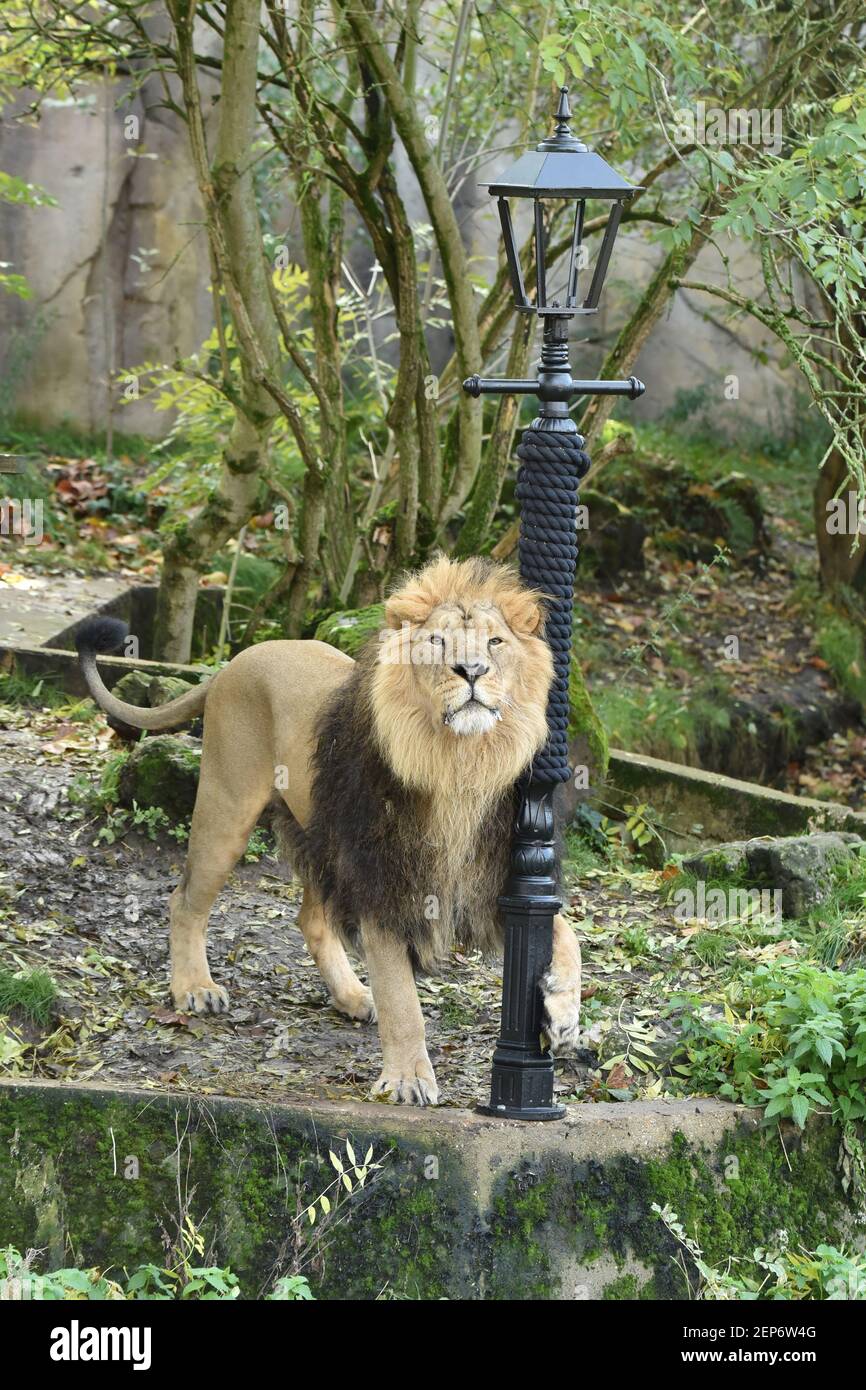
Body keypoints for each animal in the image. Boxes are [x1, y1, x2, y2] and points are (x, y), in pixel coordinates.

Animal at [75, 555, 582, 1106]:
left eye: (495, 643)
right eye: (436, 642)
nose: (472, 671)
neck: (459, 764)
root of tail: (234, 662)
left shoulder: (495, 882)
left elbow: (567, 934)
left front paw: (563, 1017)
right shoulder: (383, 882)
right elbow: (403, 1000)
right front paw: (409, 1078)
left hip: (325, 837)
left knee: (310, 919)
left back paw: (354, 994)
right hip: (227, 810)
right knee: (185, 899)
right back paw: (194, 988)